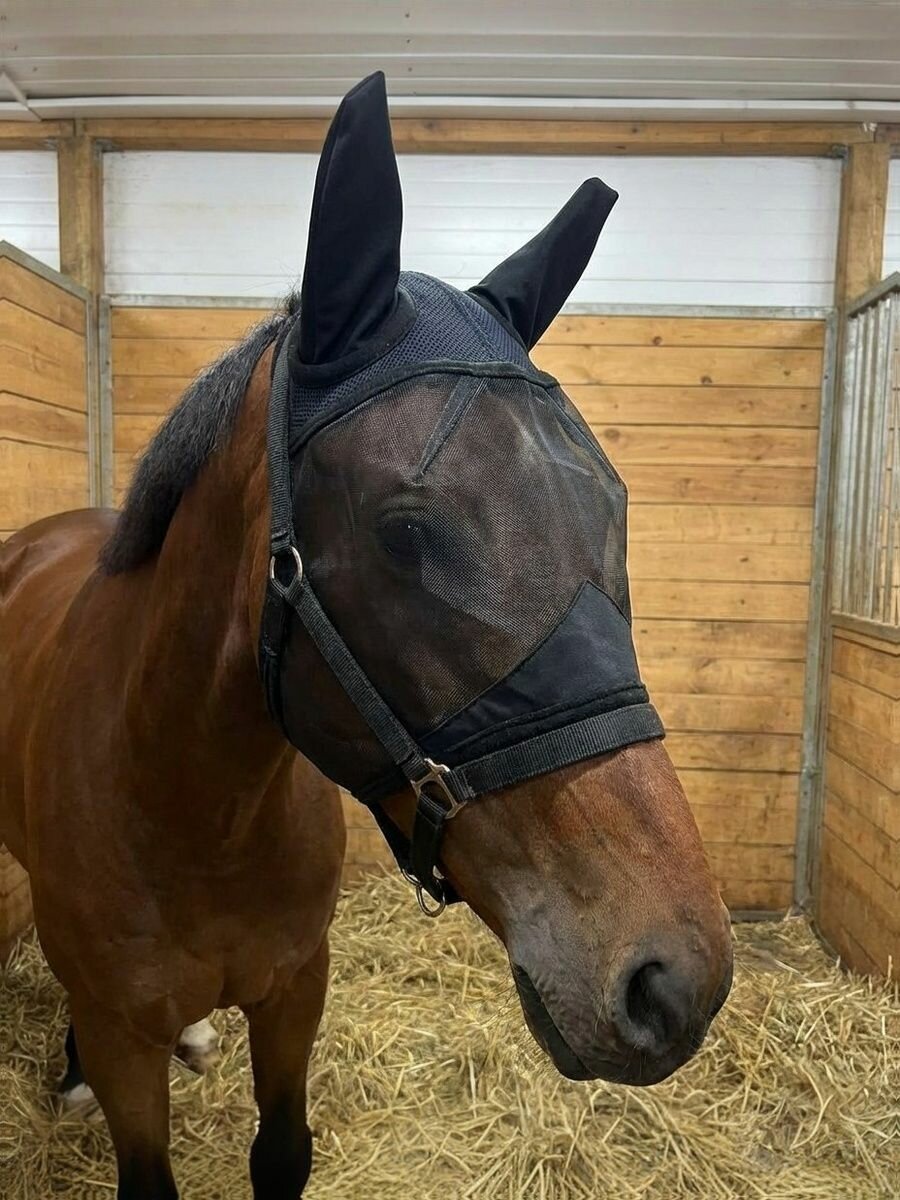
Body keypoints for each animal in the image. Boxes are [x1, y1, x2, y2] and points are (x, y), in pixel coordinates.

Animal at [0, 73, 733, 1199]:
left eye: (611, 505)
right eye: (405, 531)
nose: (674, 982)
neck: (192, 806)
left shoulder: (296, 990)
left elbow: (283, 1152)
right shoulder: (126, 1034)